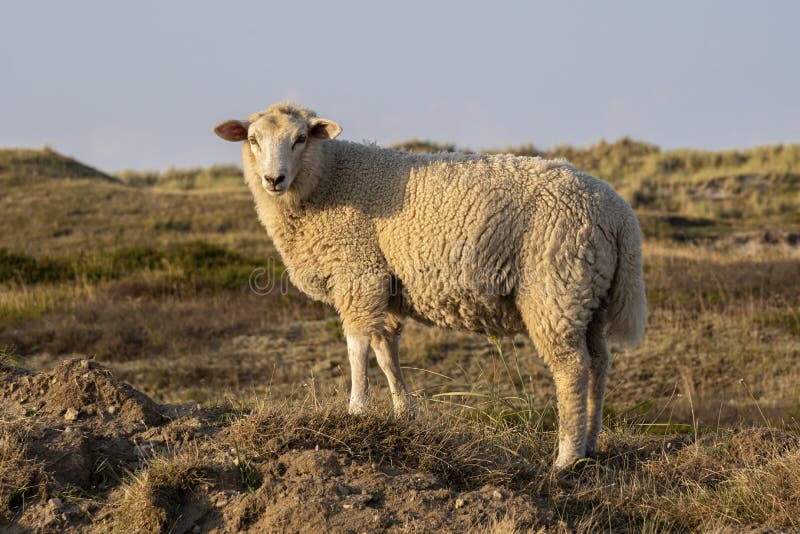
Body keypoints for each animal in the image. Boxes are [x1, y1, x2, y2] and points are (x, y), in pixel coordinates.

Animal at [213, 102, 647, 470]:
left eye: (300, 138)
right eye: (253, 140)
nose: (273, 179)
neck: (328, 178)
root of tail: (619, 214)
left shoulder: (359, 271)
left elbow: (357, 345)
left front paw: (357, 409)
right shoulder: (386, 284)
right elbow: (385, 351)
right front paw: (403, 413)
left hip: (555, 287)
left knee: (572, 368)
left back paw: (566, 457)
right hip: (590, 296)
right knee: (599, 363)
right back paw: (590, 444)